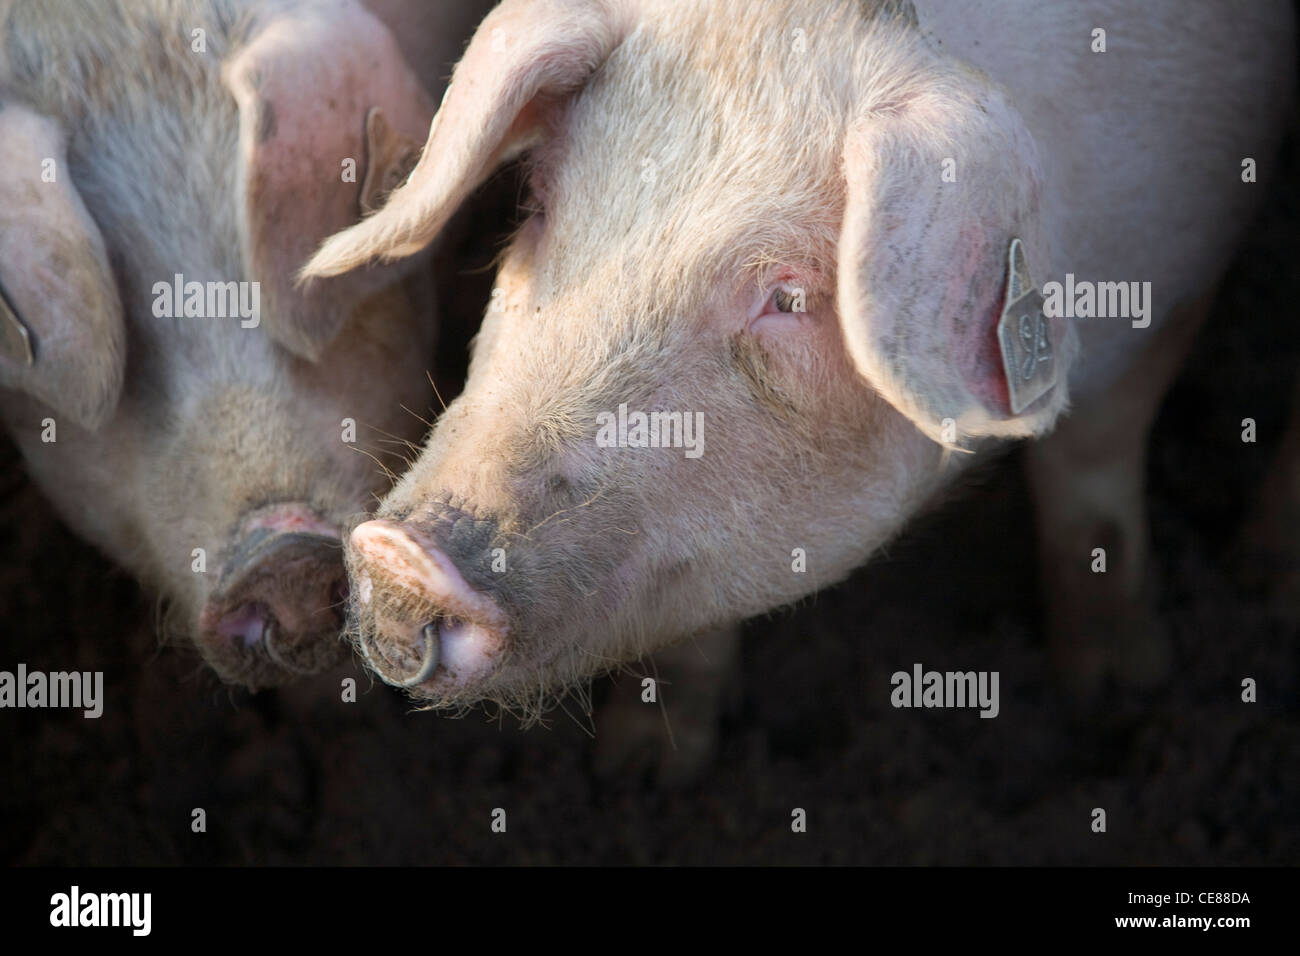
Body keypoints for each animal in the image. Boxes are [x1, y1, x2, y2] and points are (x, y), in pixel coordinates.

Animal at [302, 0, 1296, 729]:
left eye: (788, 297)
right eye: (542, 202)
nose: (399, 557)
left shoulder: (1177, 275)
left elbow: (1093, 491)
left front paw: (1118, 699)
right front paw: (644, 768)